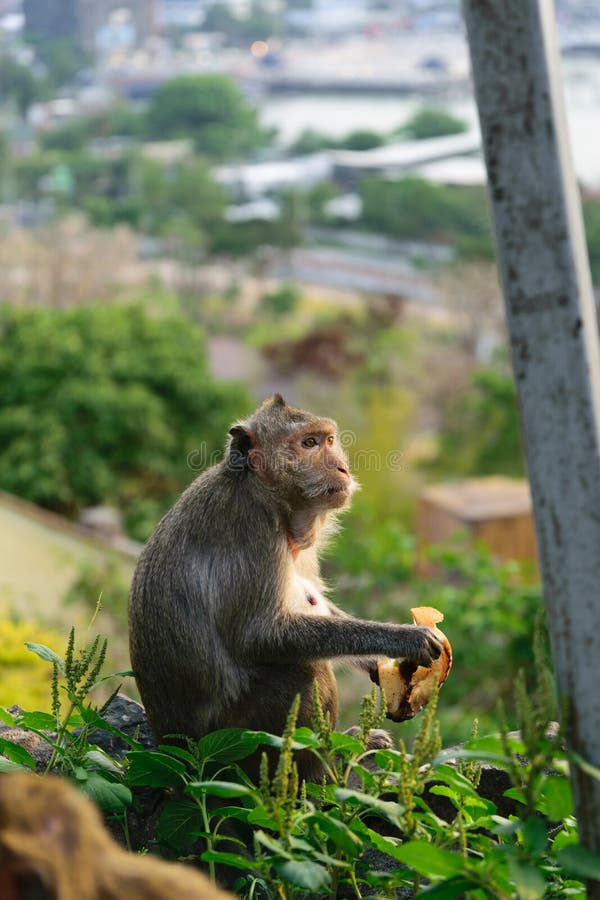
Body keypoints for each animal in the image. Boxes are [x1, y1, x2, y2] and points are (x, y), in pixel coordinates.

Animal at [129, 395, 442, 781]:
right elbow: (258, 635)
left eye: (328, 440)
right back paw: (326, 768)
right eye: (308, 444)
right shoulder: (250, 529)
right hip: (238, 744)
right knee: (303, 670)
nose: (342, 469)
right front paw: (403, 638)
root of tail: (178, 749)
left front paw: (377, 662)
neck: (268, 496)